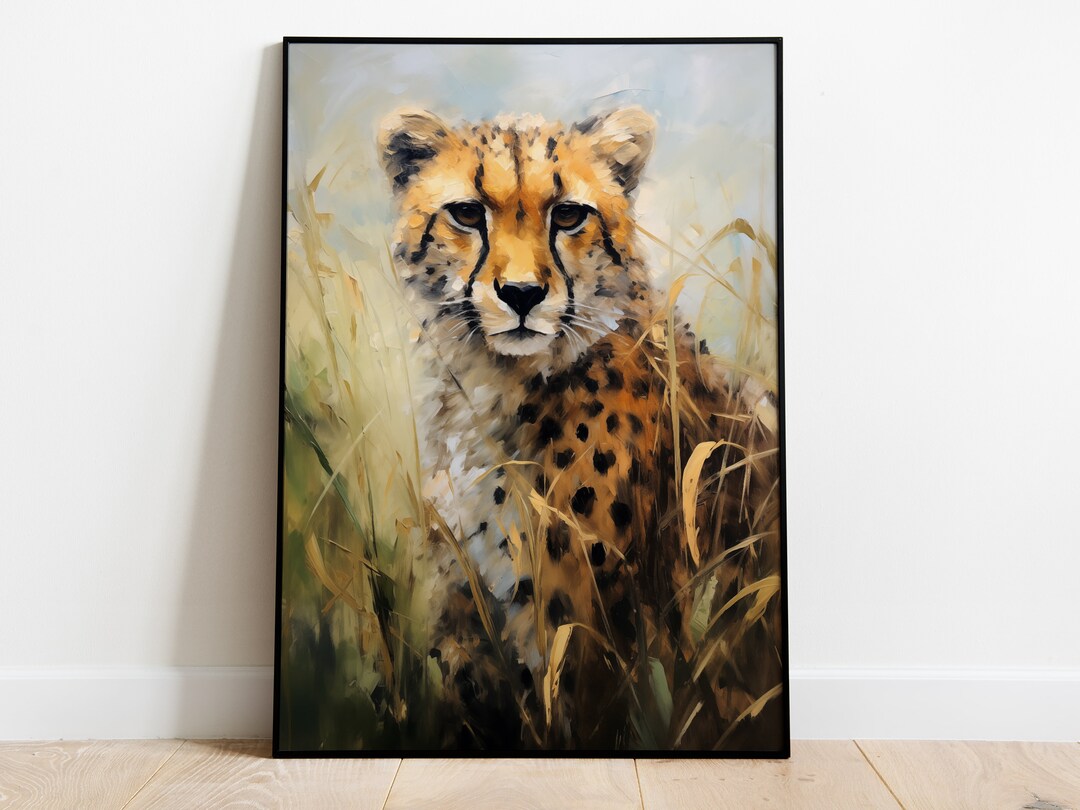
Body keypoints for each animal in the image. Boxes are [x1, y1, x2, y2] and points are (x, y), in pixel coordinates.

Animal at [378, 106, 783, 751]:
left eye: (568, 215)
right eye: (467, 212)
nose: (521, 295)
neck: (496, 384)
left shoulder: (581, 634)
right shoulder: (466, 606)